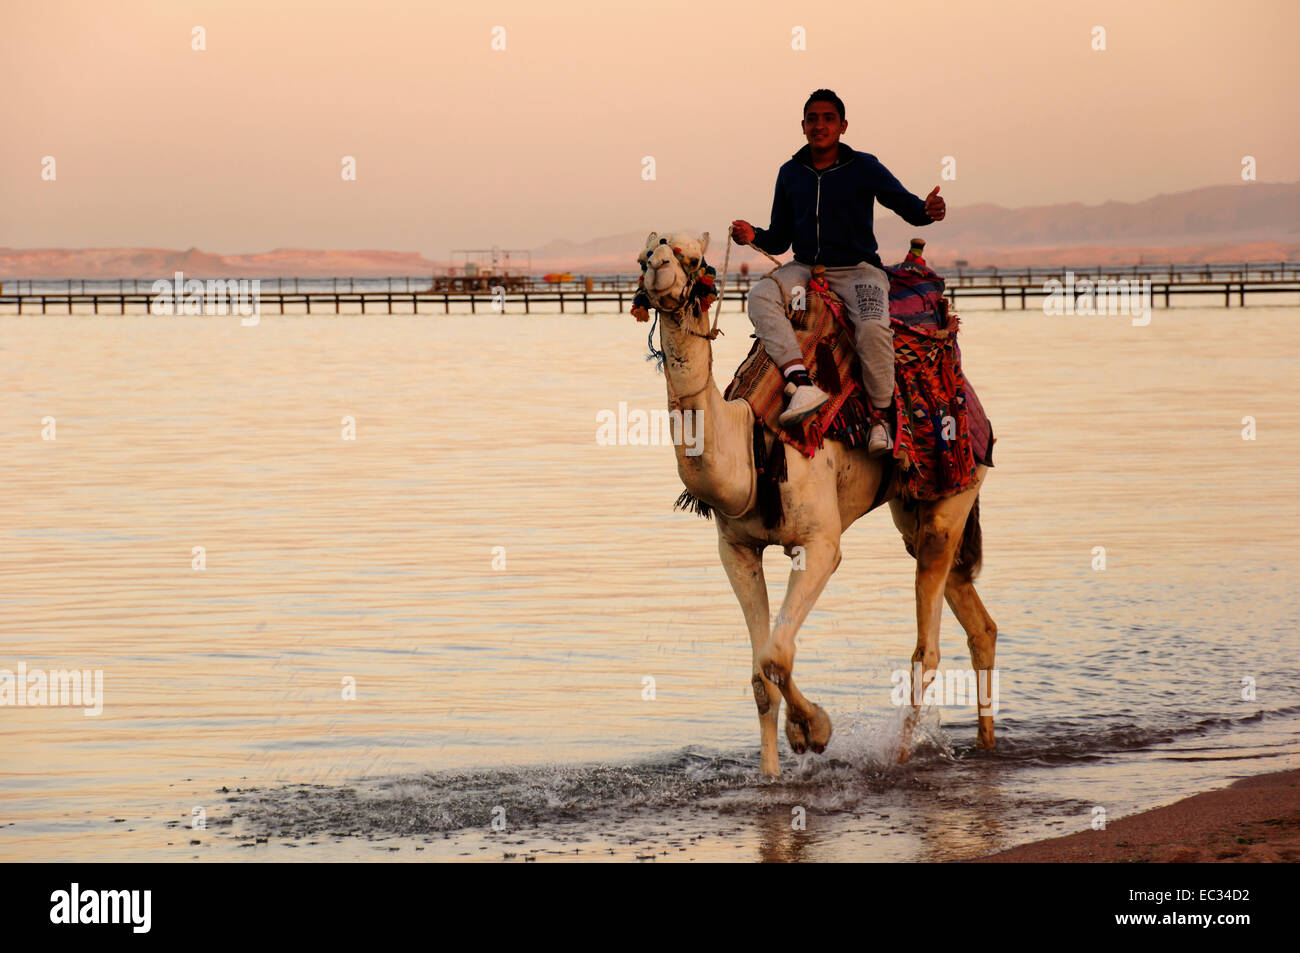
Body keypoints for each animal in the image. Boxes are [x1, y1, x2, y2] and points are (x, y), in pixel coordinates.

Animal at [633, 230, 997, 777]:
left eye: (693, 258)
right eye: (643, 256)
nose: (657, 266)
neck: (748, 443)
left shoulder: (820, 544)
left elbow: (776, 656)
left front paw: (815, 732)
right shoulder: (737, 549)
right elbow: (760, 676)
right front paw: (771, 773)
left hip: (959, 486)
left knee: (926, 650)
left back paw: (900, 756)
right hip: (917, 508)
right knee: (979, 624)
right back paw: (987, 743)